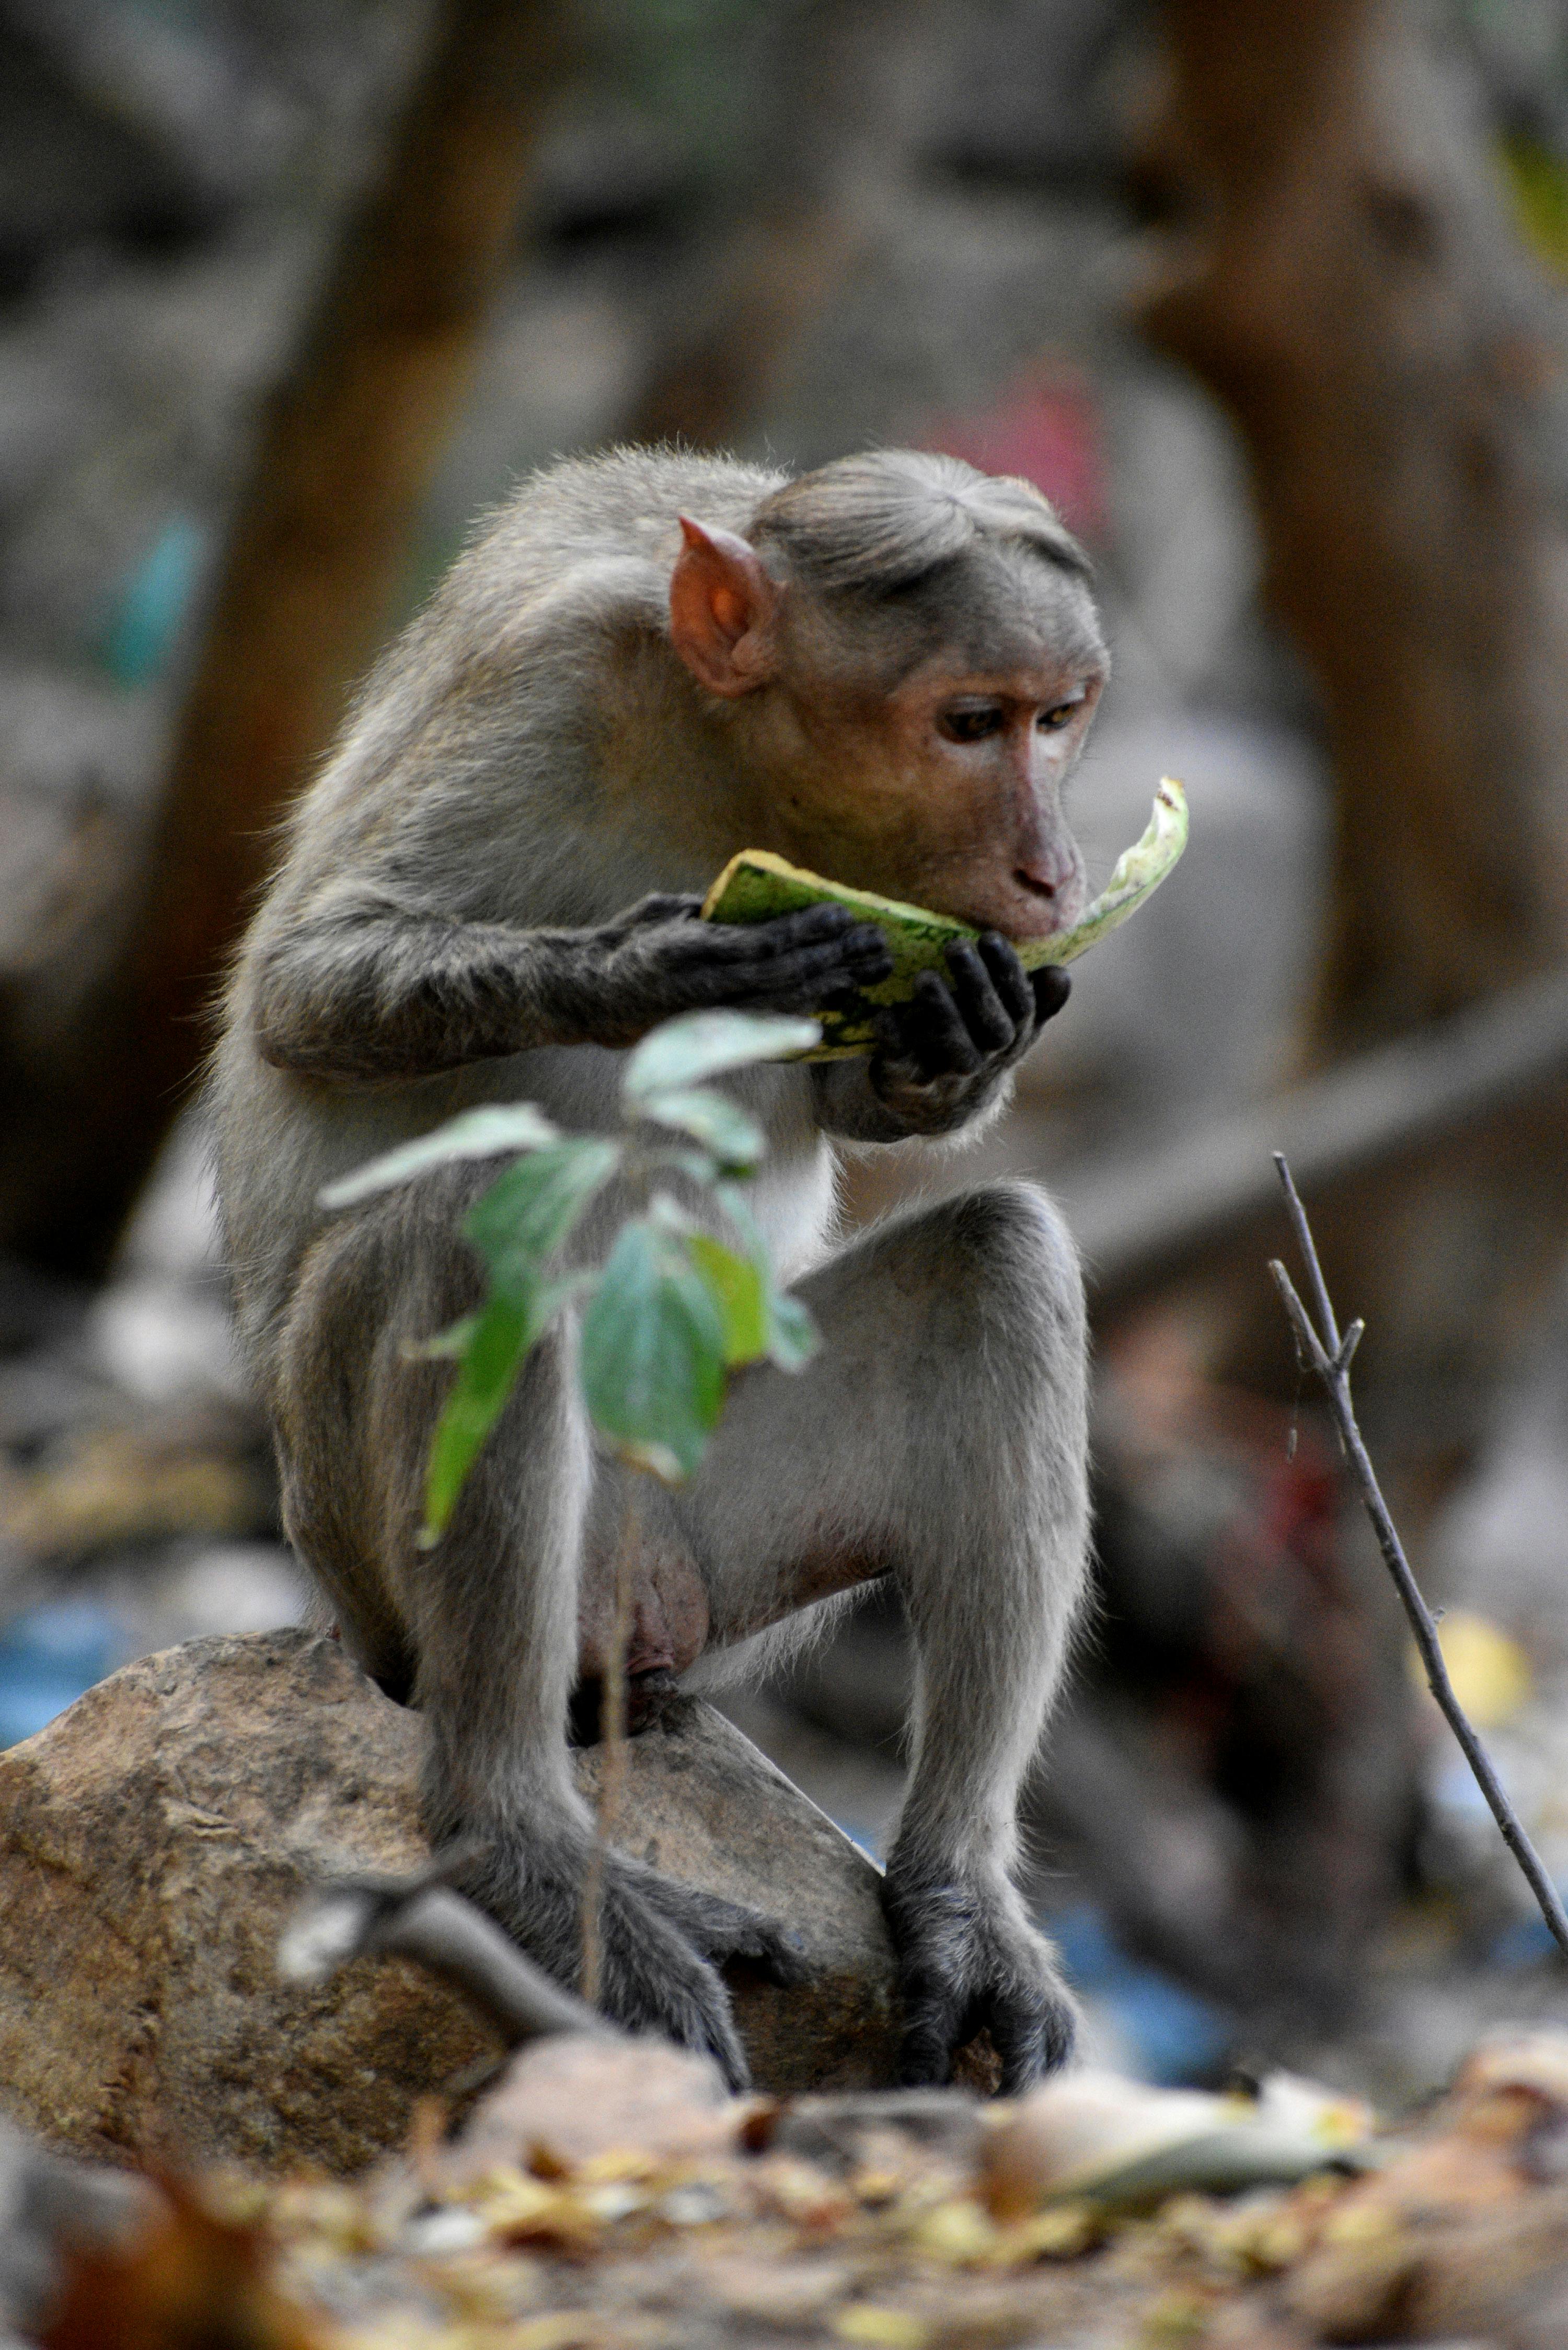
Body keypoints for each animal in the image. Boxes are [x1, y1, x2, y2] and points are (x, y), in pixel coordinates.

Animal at [211, 445, 1108, 2095]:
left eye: (1057, 715)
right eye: (971, 723)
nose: (1052, 864)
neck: (738, 759)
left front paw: (958, 1028)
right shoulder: (550, 679)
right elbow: (304, 984)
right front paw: (643, 972)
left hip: (706, 1509)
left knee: (997, 1263)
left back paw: (954, 1893)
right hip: (356, 1542)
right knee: (472, 1230)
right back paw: (516, 1836)